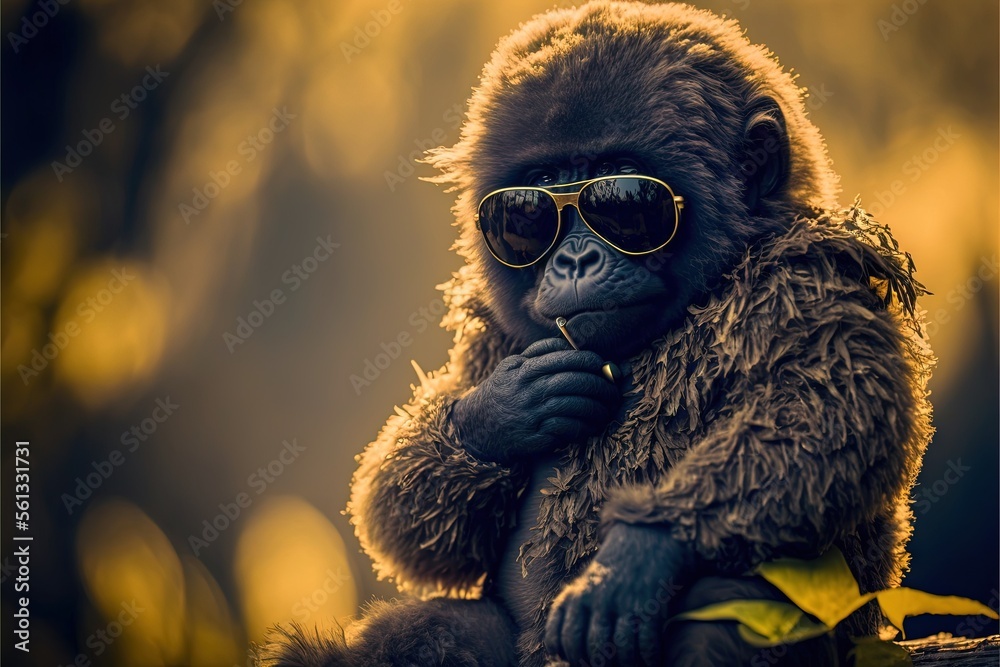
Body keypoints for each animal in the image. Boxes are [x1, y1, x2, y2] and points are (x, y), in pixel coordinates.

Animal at [255, 2, 933, 665]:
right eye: (528, 209)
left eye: (622, 193)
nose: (574, 258)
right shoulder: (491, 336)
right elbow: (409, 518)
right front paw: (502, 411)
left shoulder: (805, 274)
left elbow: (832, 413)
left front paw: (638, 555)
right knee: (440, 627)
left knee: (733, 602)